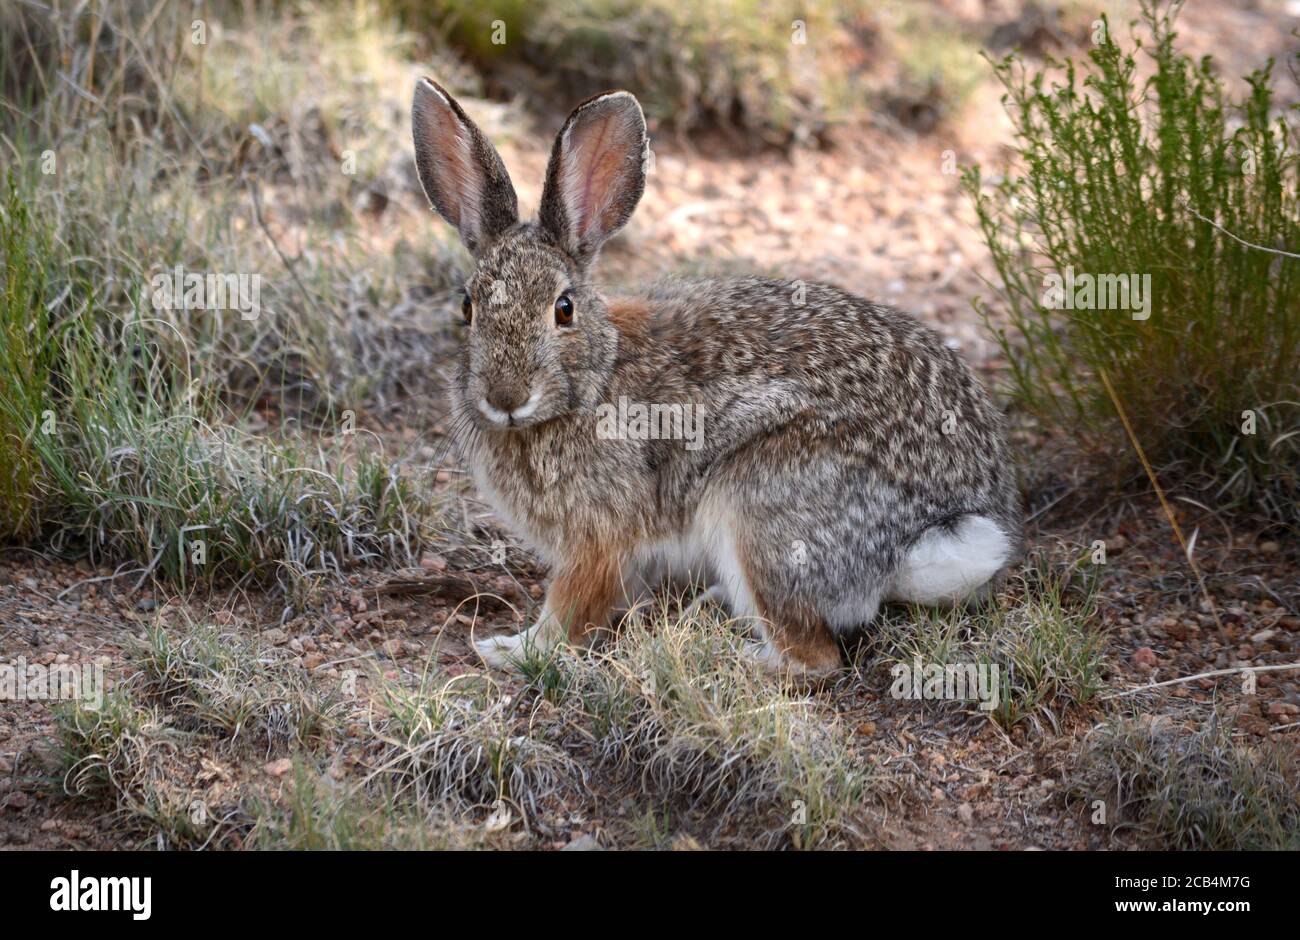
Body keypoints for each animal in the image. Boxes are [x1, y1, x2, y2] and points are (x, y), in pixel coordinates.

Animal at [412, 78, 1023, 676]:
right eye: (467, 307)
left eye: (563, 309)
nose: (505, 397)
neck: (594, 376)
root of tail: (930, 533)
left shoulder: (599, 538)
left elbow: (571, 606)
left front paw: (515, 649)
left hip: (759, 507)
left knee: (814, 657)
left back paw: (734, 652)